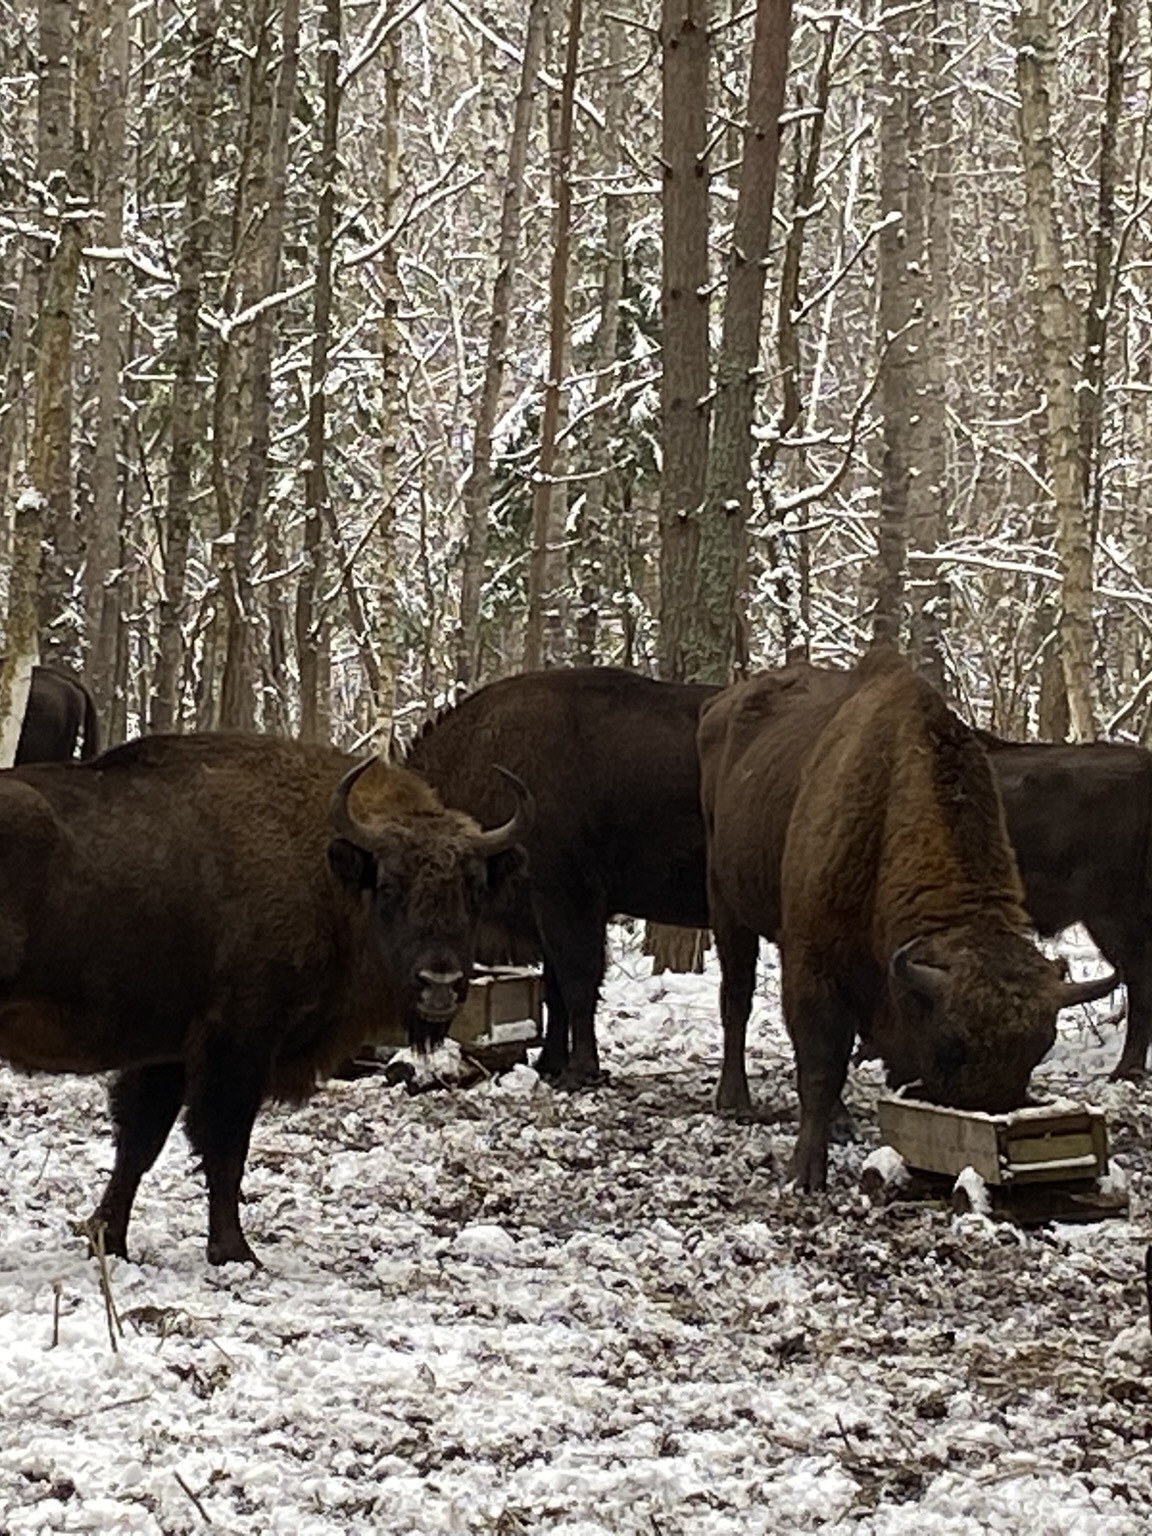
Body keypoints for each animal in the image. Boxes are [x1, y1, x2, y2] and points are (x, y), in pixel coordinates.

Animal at [0, 731, 531, 1259]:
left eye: (475, 888)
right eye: (388, 885)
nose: (439, 982)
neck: (324, 871)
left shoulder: (168, 1052)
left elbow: (140, 1142)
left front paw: (108, 1239)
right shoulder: (240, 1040)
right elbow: (224, 1147)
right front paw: (235, 1252)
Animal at [402, 666, 712, 1087]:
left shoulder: (568, 899)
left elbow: (578, 980)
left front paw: (580, 1071)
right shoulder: (546, 911)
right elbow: (554, 989)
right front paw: (548, 1064)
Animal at [700, 648, 1124, 1185]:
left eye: (1040, 1048)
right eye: (952, 1044)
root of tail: (721, 703)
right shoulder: (813, 961)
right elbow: (820, 1064)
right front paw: (805, 1171)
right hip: (727, 906)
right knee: (736, 1000)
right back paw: (734, 1099)